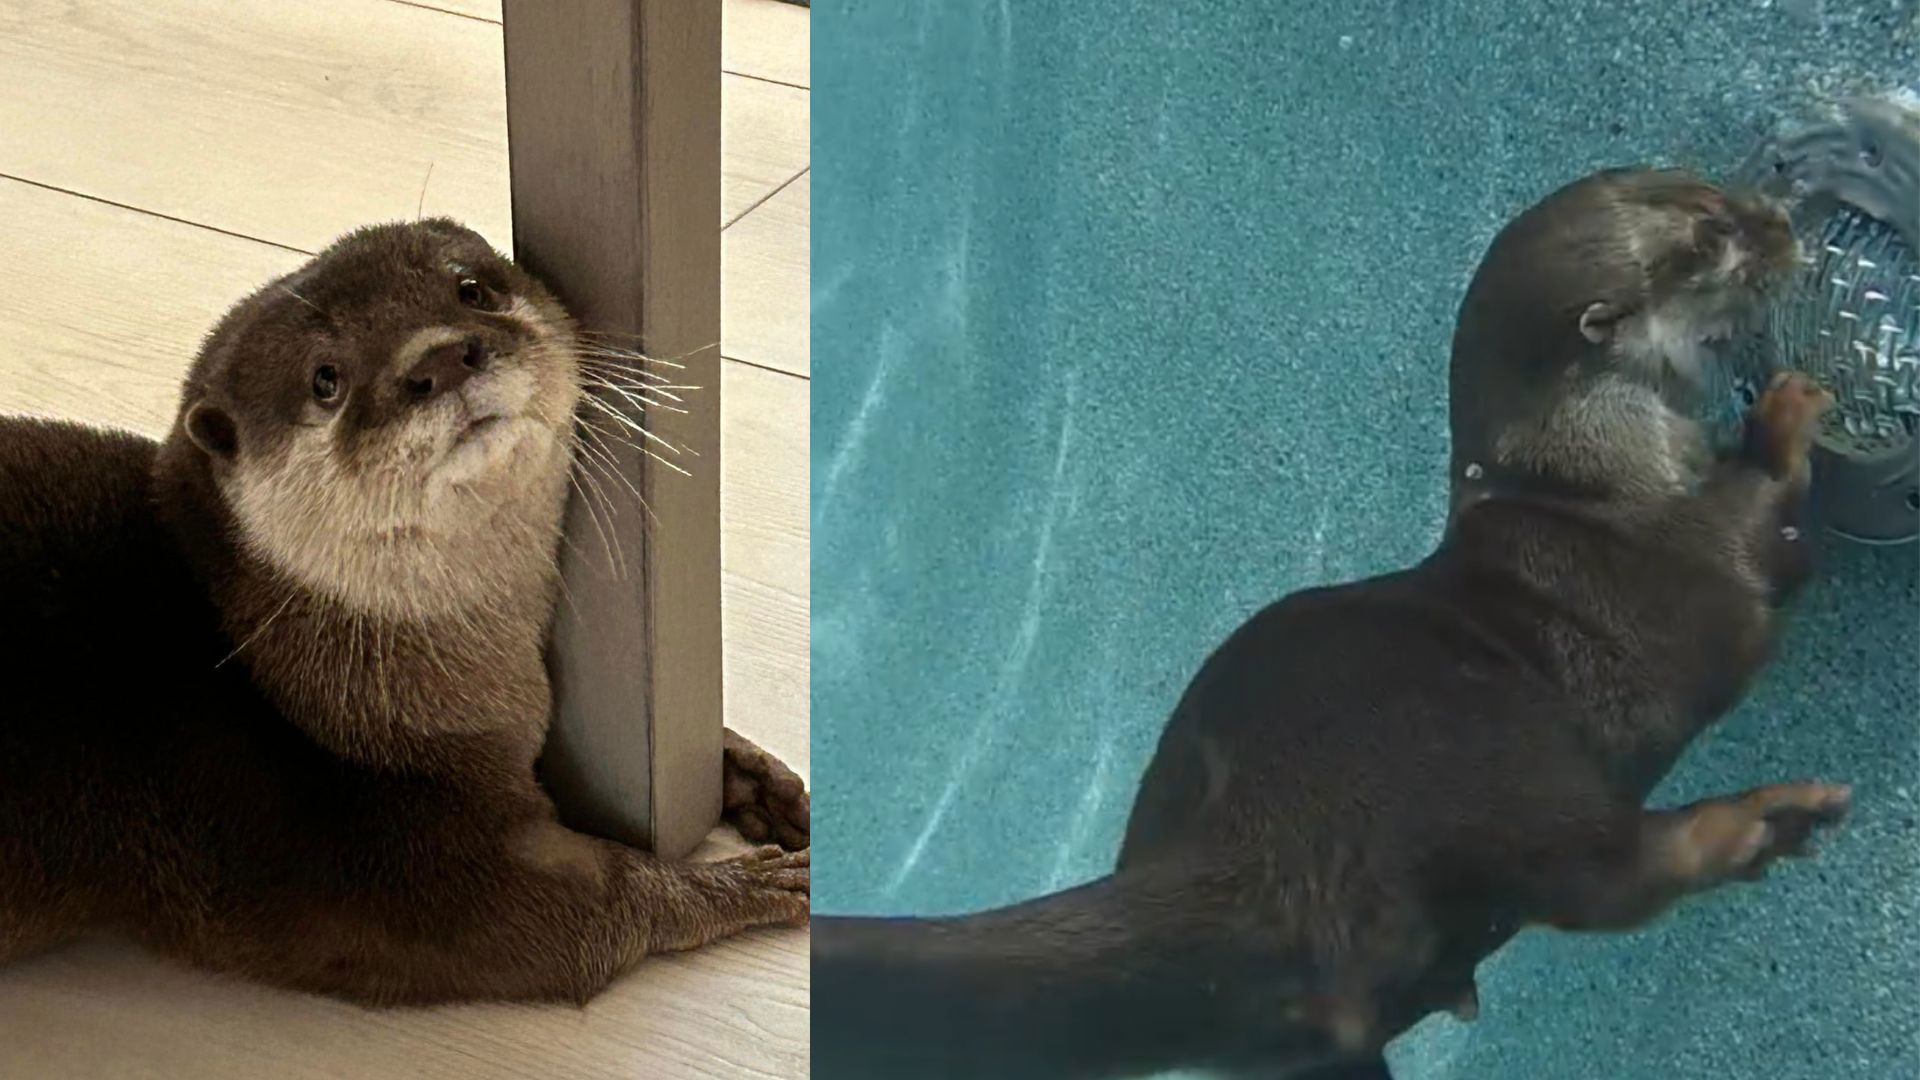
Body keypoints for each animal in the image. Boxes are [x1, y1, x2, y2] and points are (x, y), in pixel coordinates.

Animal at [0, 218, 808, 1004]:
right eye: (324, 379)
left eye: (472, 288)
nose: (442, 357)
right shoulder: (361, 873)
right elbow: (572, 919)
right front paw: (741, 881)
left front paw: (750, 775)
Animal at [811, 169, 1849, 1079]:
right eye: (1710, 239)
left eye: (1708, 186)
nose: (1781, 221)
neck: (1602, 470)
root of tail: (1250, 848)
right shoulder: (1678, 556)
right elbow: (1759, 540)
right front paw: (1787, 415)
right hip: (1478, 763)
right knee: (1605, 872)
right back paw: (1767, 822)